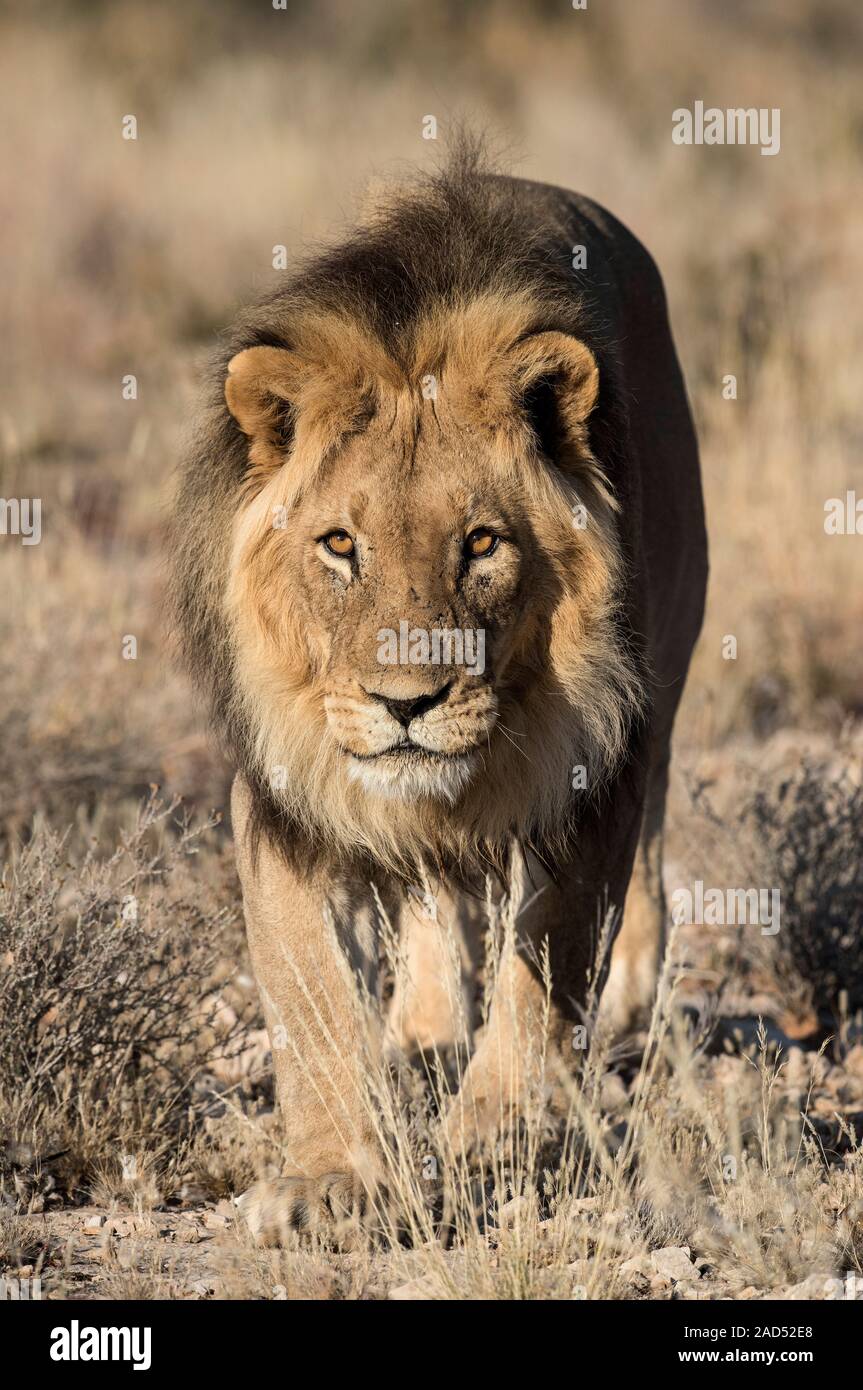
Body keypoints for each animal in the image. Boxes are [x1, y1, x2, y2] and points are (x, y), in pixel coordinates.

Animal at [170, 144, 707, 1240]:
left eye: (481, 544)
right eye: (341, 545)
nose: (406, 705)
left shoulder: (596, 770)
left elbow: (548, 963)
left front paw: (492, 1137)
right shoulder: (284, 792)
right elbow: (308, 989)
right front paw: (331, 1180)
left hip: (666, 678)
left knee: (649, 846)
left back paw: (628, 1007)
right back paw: (422, 1032)